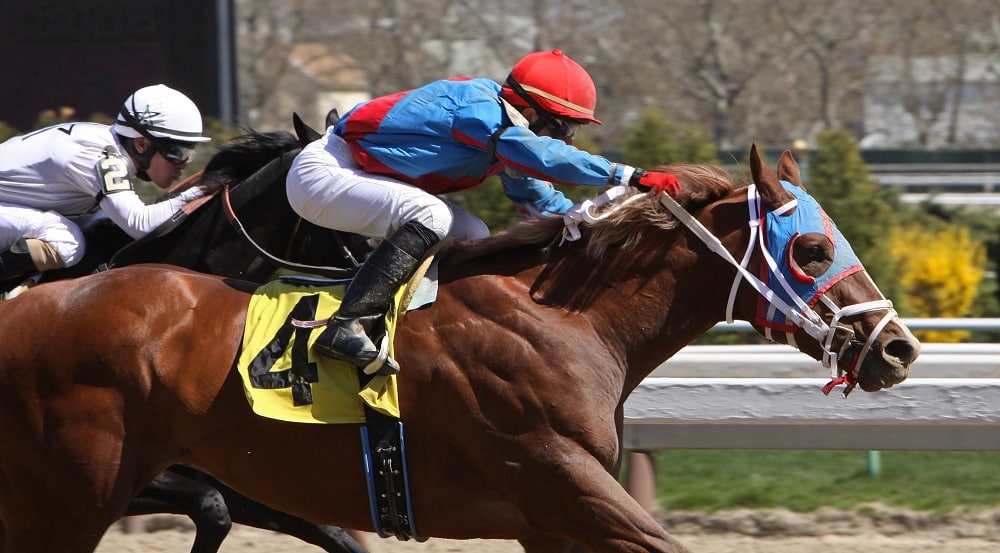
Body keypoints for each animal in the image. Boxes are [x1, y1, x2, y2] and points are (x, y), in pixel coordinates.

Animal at [0, 146, 919, 553]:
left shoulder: (554, 519)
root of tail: (22, 308)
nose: (899, 347)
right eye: (811, 251)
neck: (567, 322)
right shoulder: (561, 482)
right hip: (68, 497)